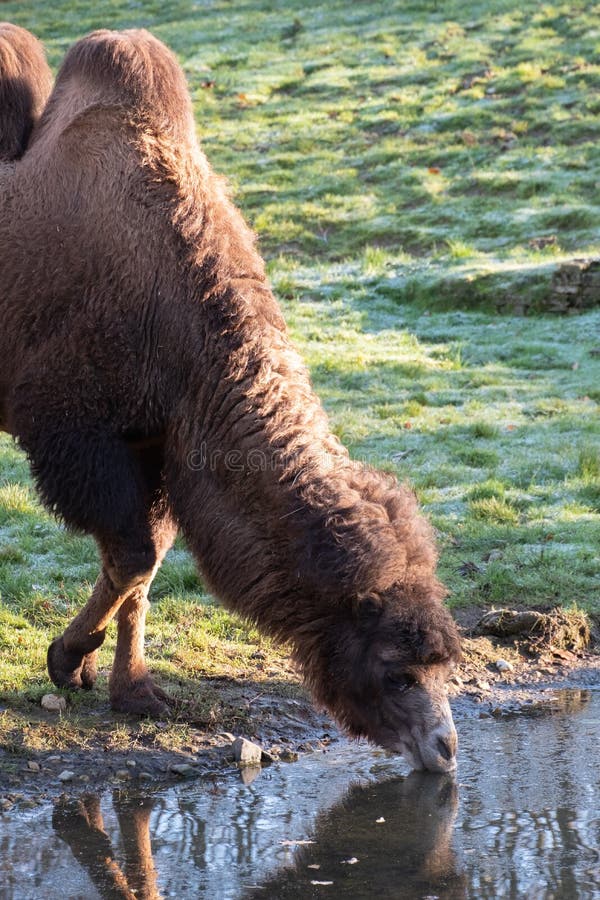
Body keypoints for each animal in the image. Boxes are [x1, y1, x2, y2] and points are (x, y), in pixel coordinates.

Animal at [0, 24, 461, 773]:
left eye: (445, 663)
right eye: (397, 669)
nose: (445, 748)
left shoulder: (158, 443)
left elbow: (143, 564)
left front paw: (130, 689)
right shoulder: (76, 431)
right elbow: (133, 555)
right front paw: (69, 659)